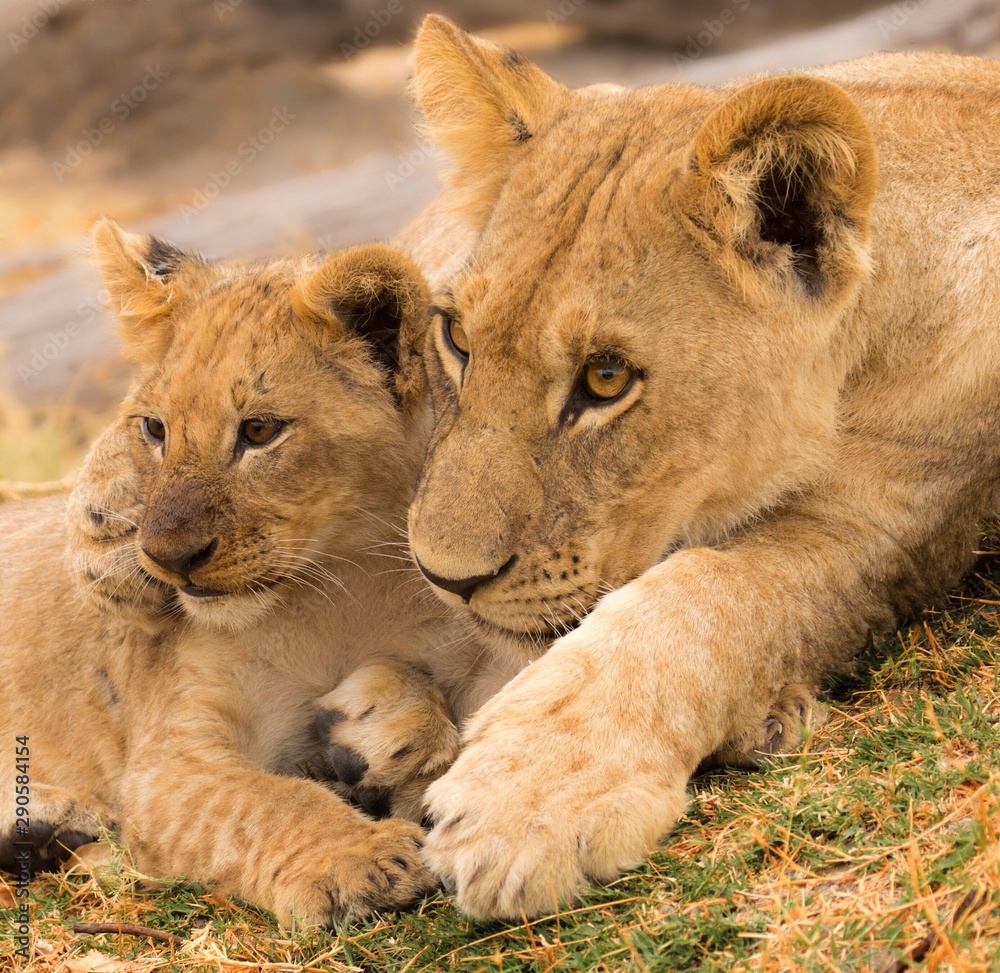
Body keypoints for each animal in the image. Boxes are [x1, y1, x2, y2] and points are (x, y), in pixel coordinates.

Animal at [0, 219, 517, 925]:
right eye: (155, 429)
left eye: (261, 431)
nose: (167, 557)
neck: (340, 586)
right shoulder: (170, 763)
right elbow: (261, 805)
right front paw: (360, 861)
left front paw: (383, 739)